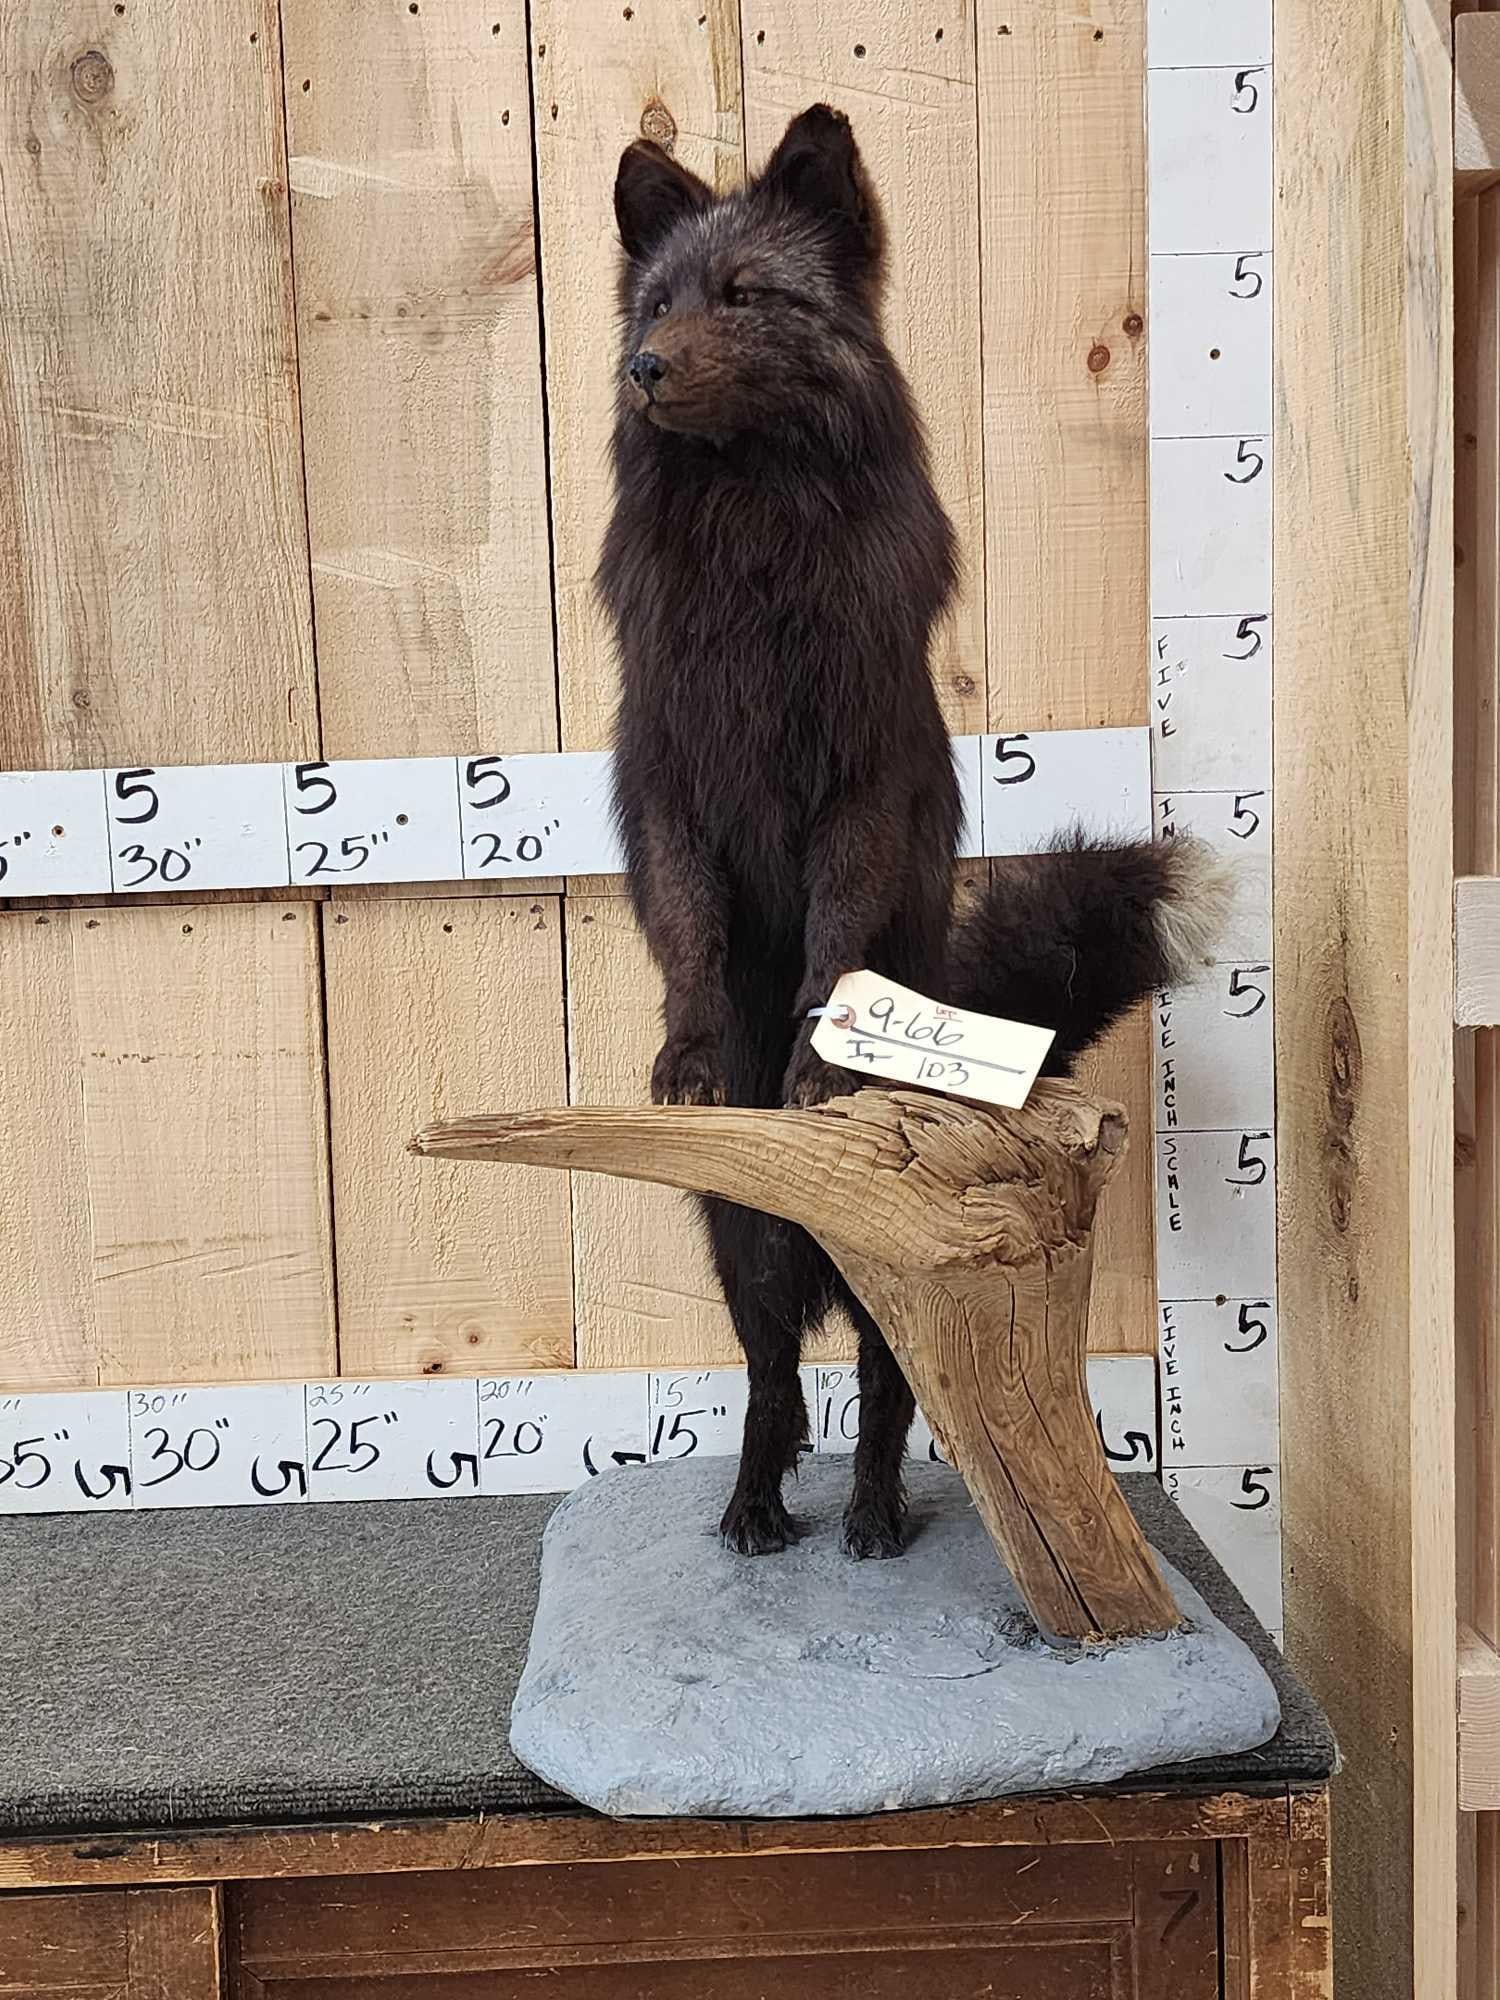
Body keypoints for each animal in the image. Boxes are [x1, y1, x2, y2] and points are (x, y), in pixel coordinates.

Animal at [601, 104, 1228, 1561]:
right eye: (656, 303)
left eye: (744, 295)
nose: (643, 368)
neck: (755, 541)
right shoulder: (670, 789)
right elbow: (695, 938)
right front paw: (696, 1058)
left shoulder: (858, 793)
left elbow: (832, 949)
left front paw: (819, 1063)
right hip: (743, 1240)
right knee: (774, 1380)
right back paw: (754, 1510)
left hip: (906, 1253)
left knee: (889, 1390)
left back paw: (875, 1517)